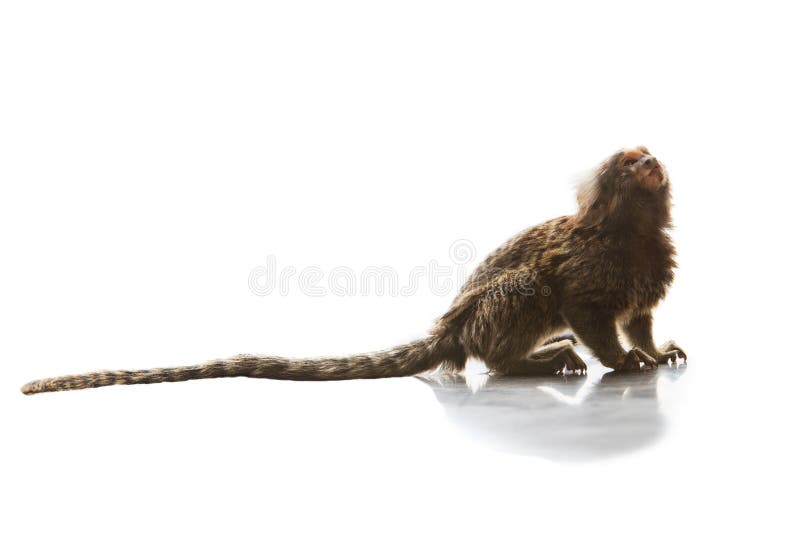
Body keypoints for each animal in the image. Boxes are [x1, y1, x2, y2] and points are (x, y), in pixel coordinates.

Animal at [21, 146, 686, 395]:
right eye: (631, 165)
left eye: (648, 157)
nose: (651, 162)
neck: (630, 231)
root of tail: (449, 327)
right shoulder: (588, 274)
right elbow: (585, 311)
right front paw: (625, 362)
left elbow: (641, 321)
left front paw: (653, 353)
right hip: (493, 311)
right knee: (513, 317)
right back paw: (532, 360)